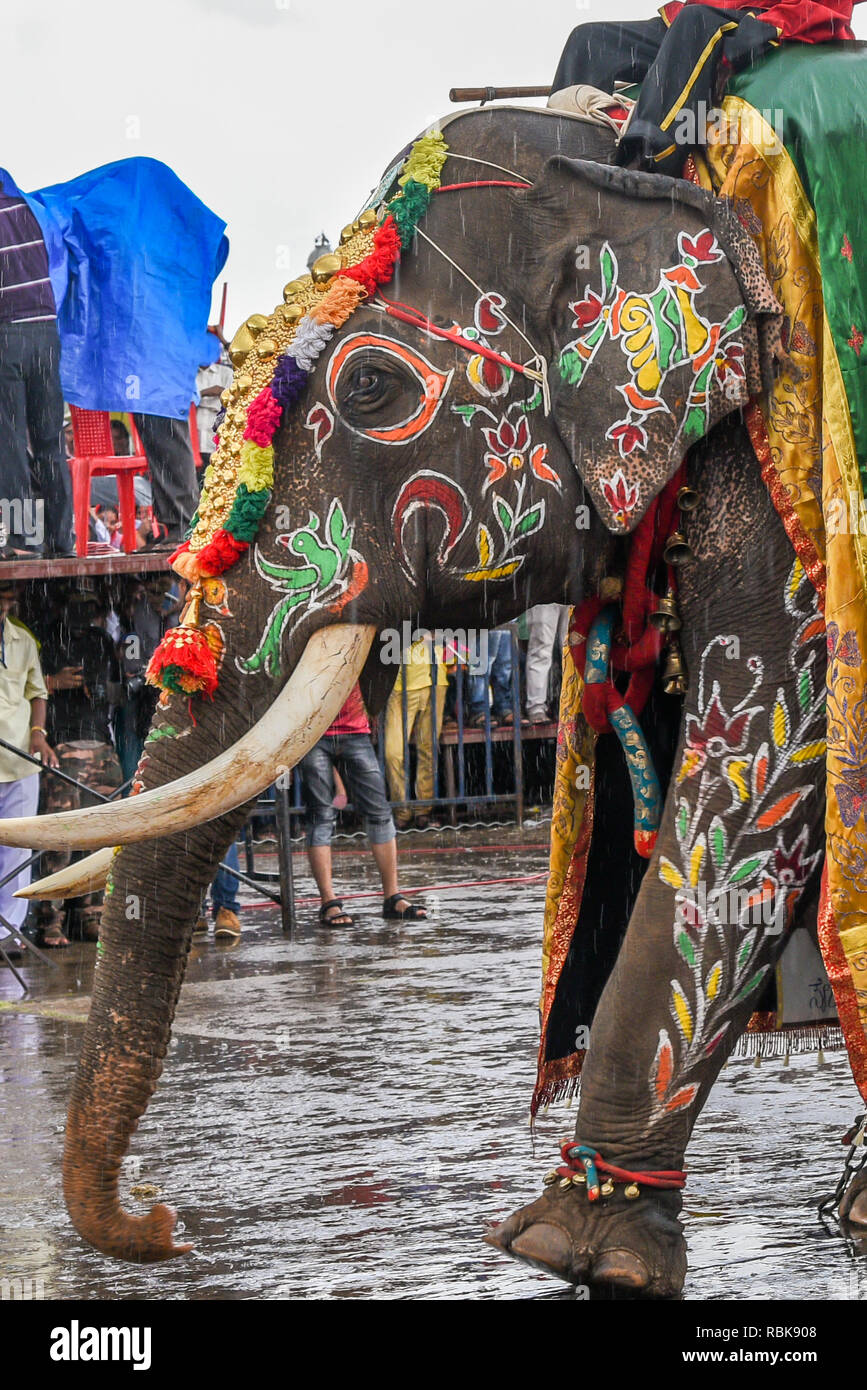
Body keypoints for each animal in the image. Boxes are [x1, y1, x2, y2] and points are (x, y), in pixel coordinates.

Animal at [4, 102, 865, 1297]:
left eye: (373, 390)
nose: (165, 1224)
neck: (635, 156)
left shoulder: (784, 468)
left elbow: (763, 751)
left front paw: (572, 1248)